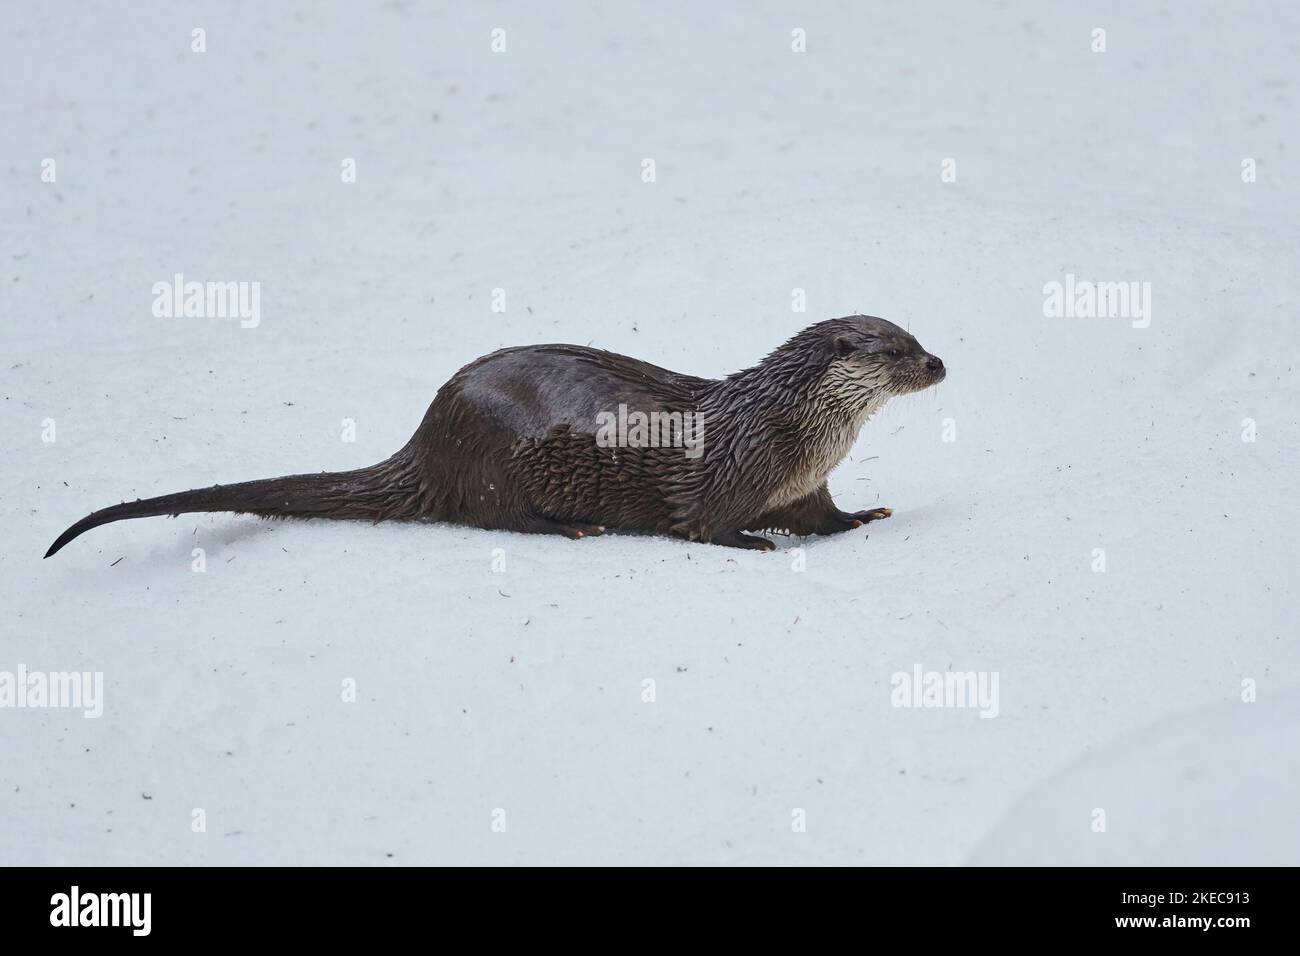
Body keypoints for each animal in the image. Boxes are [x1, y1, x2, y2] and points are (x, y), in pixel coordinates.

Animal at [45, 315, 945, 557]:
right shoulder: (734, 475)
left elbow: (822, 517)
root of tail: (425, 440)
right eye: (897, 350)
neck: (793, 428)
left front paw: (862, 518)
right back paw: (571, 528)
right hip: (501, 461)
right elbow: (712, 526)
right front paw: (755, 545)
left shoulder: (806, 481)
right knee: (489, 515)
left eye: (915, 335)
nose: (939, 361)